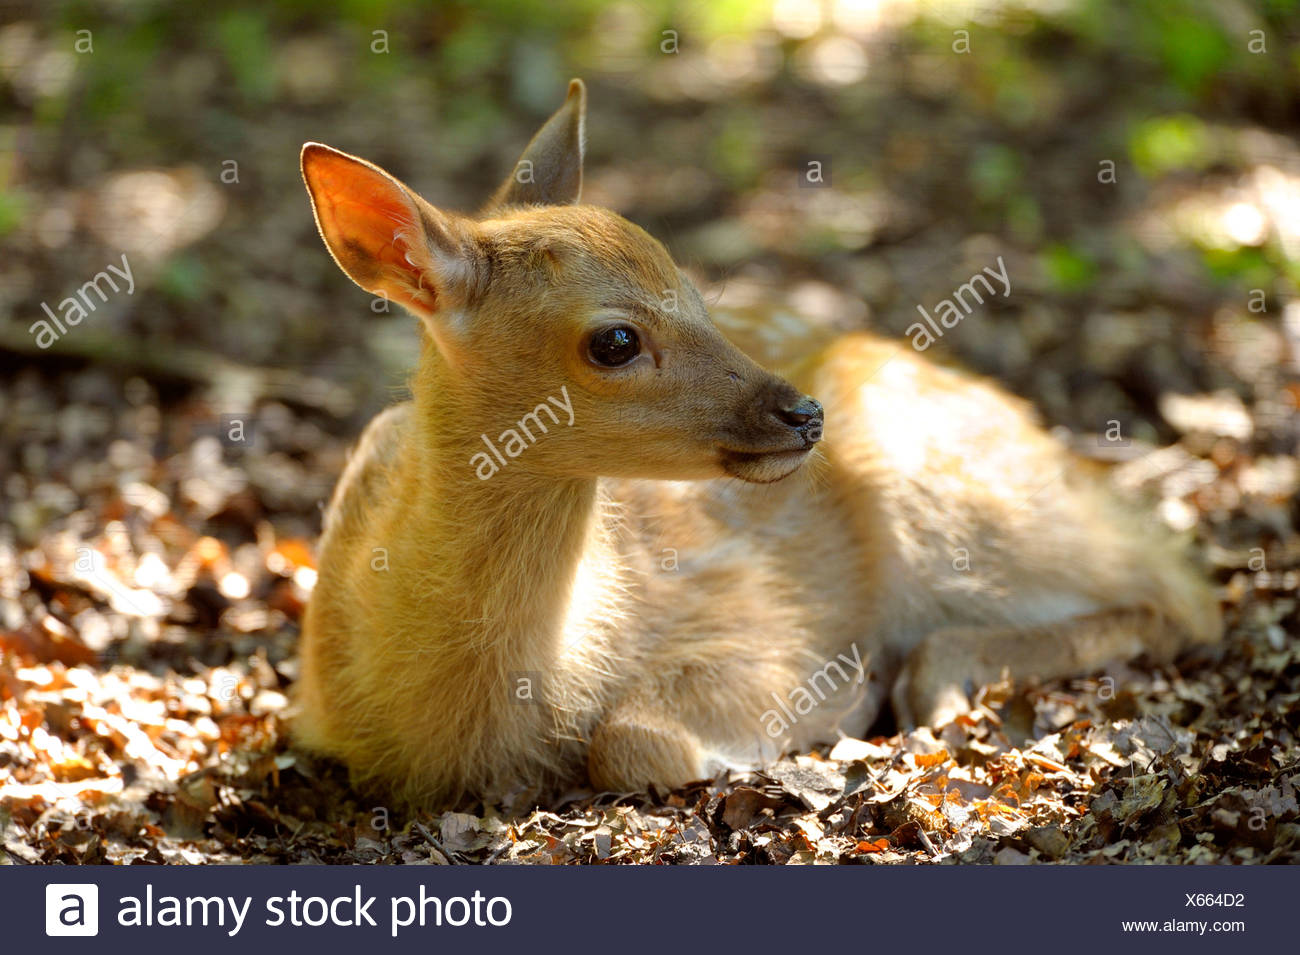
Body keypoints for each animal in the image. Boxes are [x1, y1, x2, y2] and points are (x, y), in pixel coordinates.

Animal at [294, 79, 1221, 807]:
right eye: (615, 340)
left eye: (698, 292)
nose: (804, 414)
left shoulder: (760, 623)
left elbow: (629, 738)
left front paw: (837, 704)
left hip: (957, 504)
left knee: (1178, 594)